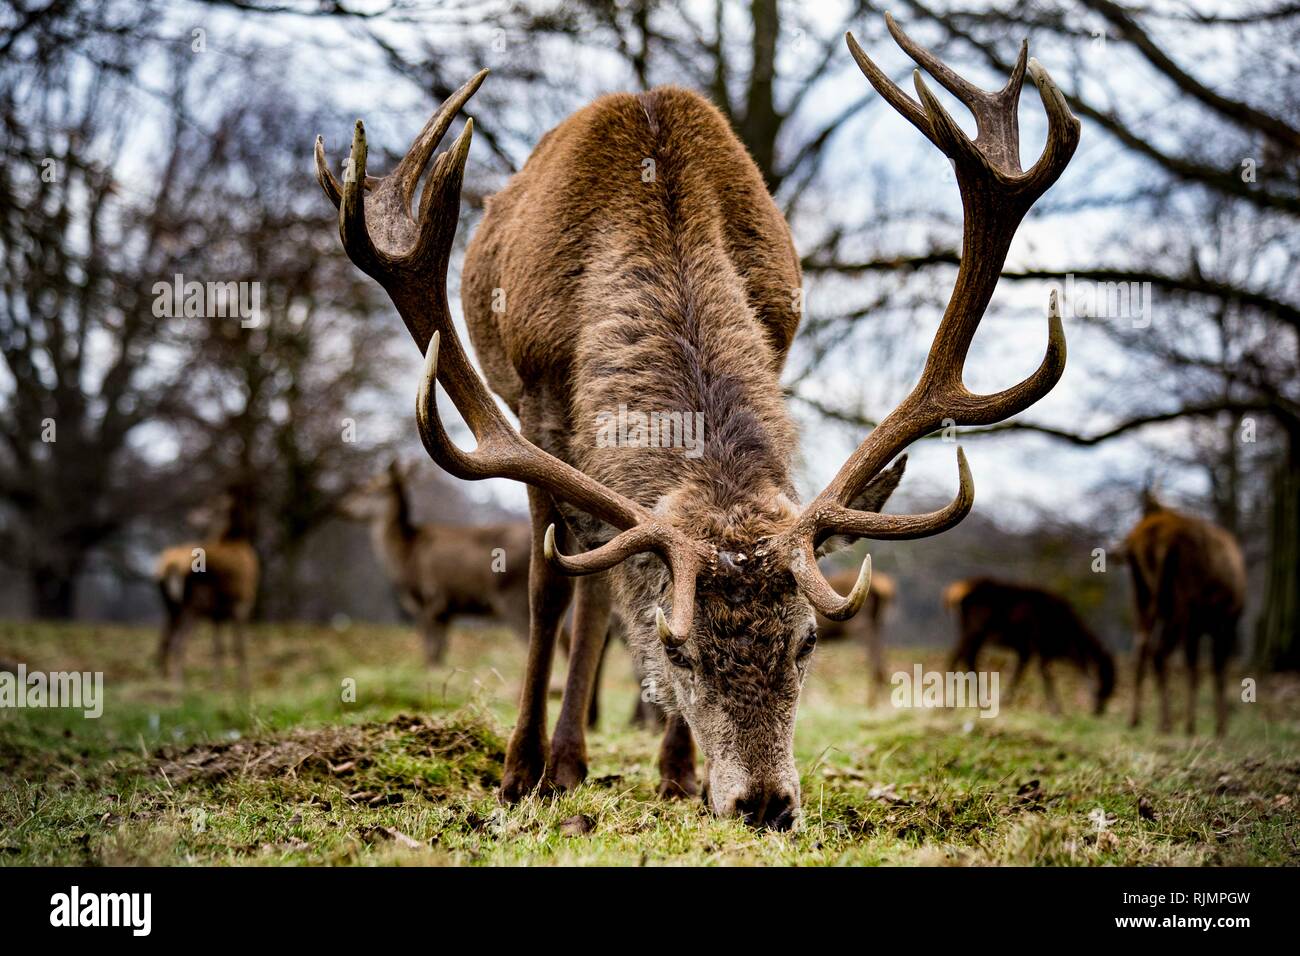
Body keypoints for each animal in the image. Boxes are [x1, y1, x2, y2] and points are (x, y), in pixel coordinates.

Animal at [155, 489, 259, 688]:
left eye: (211, 506)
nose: (190, 517)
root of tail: (171, 566)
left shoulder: (217, 614)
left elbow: (218, 649)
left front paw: (218, 686)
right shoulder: (241, 604)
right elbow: (239, 648)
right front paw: (244, 687)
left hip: (173, 606)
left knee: (166, 639)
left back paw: (166, 679)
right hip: (196, 604)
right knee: (178, 642)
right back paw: (178, 685)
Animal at [341, 460, 531, 665]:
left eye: (369, 487)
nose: (343, 506)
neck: (402, 555)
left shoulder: (426, 601)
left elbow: (431, 653)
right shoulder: (445, 612)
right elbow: (440, 651)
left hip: (515, 597)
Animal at [944, 577, 1115, 715]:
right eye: (1105, 677)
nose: (1100, 710)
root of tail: (953, 594)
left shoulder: (1026, 649)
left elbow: (1020, 672)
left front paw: (1005, 701)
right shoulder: (1039, 644)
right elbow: (1045, 673)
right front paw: (1056, 711)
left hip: (972, 631)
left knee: (964, 656)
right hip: (976, 629)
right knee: (961, 655)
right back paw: (961, 702)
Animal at [1123, 494, 1246, 736]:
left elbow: (1203, 667)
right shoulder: (1226, 621)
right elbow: (1217, 670)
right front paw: (1219, 726)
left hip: (1143, 598)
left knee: (1143, 651)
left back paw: (1139, 719)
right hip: (1183, 604)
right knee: (1169, 656)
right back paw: (1176, 723)